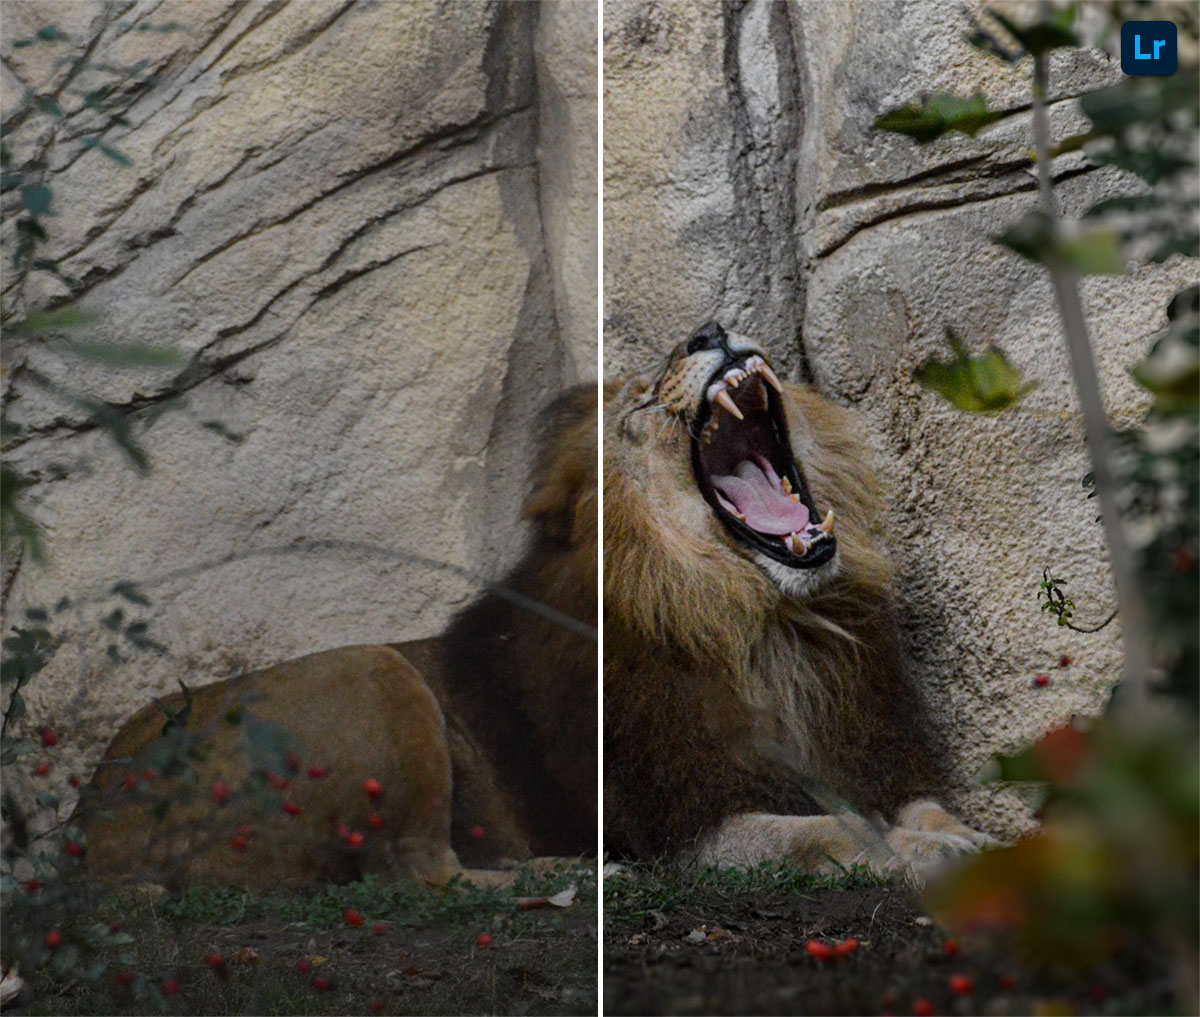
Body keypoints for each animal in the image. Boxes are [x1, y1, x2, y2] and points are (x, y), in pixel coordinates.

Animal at [603, 322, 991, 878]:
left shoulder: (875, 751)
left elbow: (925, 806)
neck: (777, 621)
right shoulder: (691, 826)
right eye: (644, 400)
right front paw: (915, 851)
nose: (709, 331)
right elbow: (828, 829)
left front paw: (963, 835)